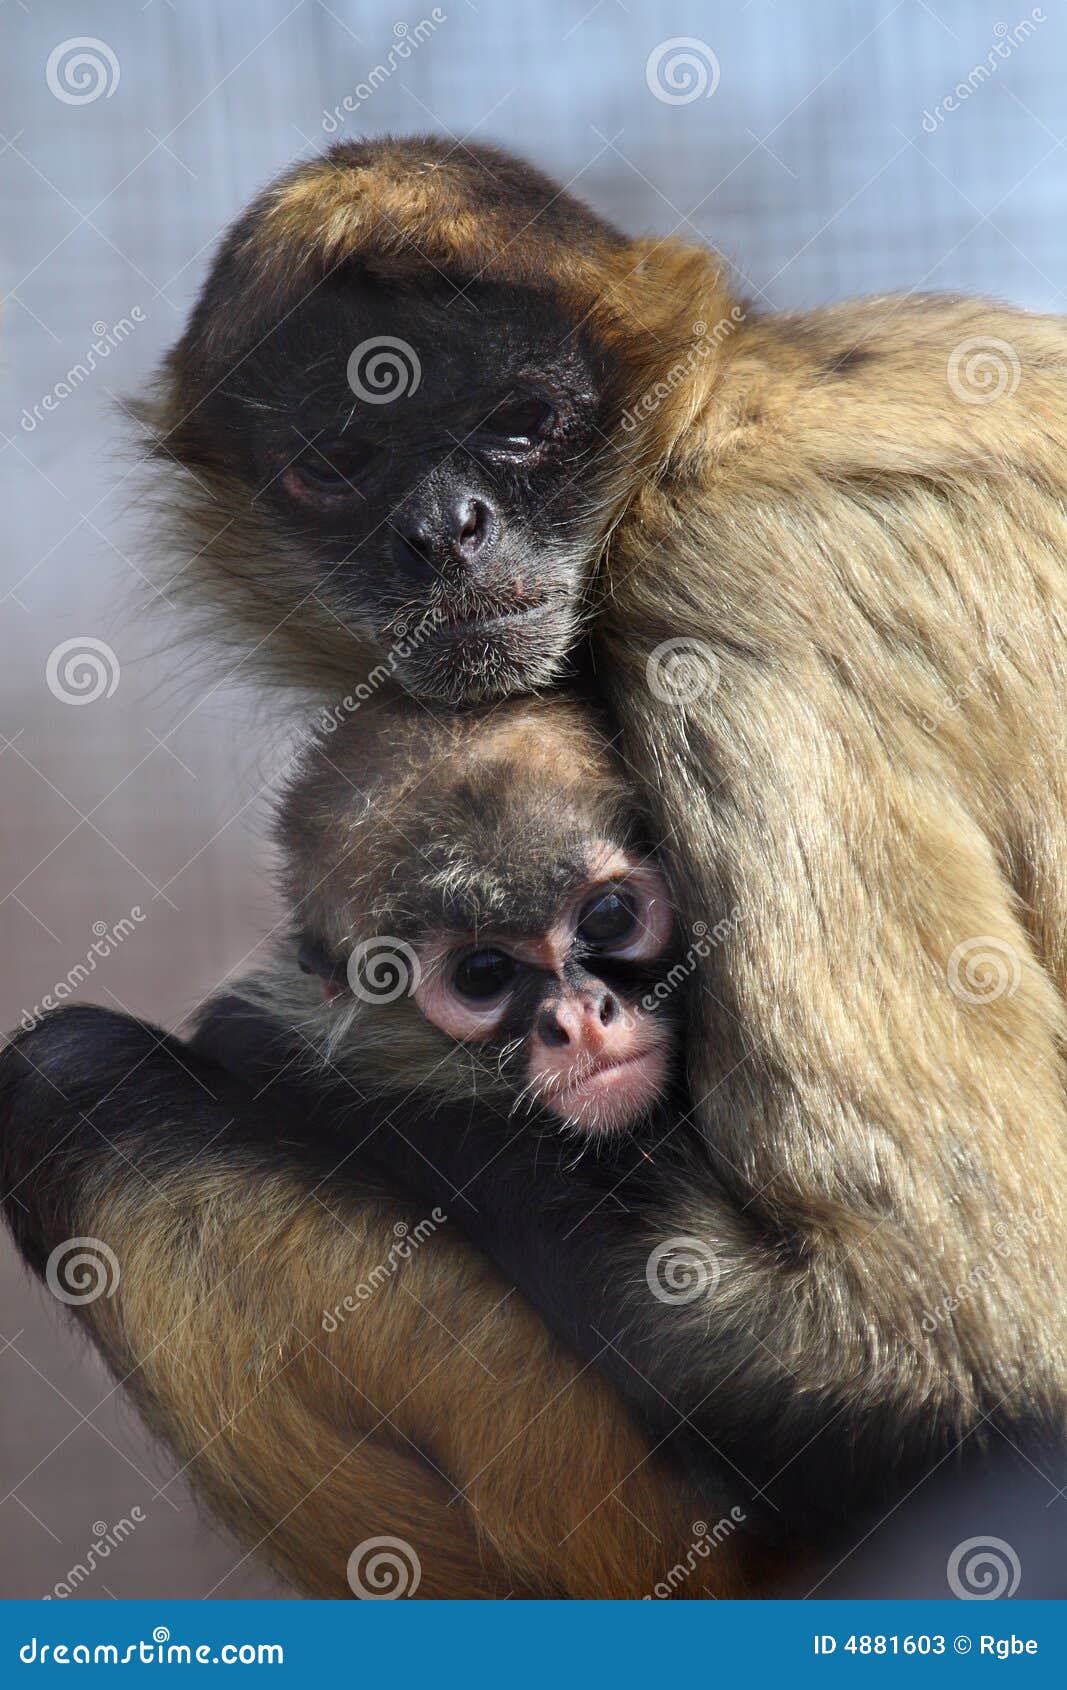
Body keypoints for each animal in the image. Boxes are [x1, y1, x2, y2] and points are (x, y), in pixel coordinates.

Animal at [6, 134, 1067, 1573]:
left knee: (69, 1080)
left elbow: (948, 1323)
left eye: (517, 423)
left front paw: (293, 1047)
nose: (445, 528)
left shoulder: (720, 585)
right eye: (341, 458)